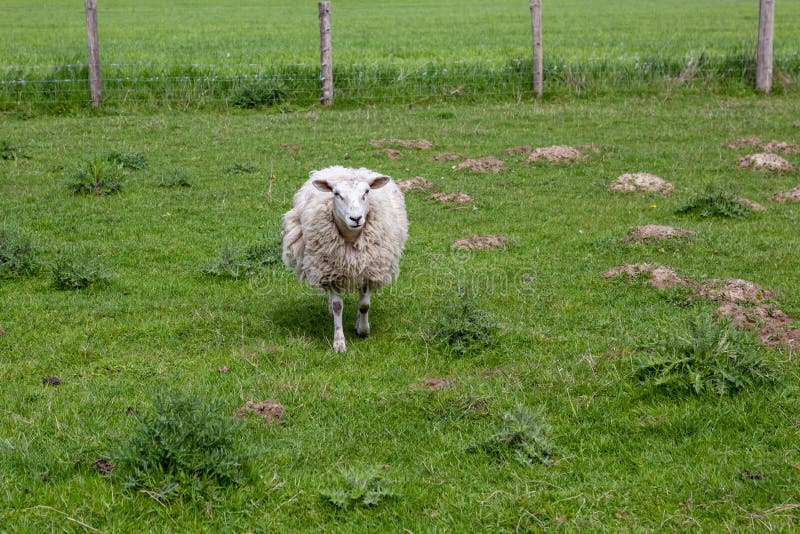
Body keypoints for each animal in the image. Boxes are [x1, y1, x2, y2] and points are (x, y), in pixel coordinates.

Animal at [282, 166, 408, 352]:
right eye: (336, 194)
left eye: (366, 192)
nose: (356, 218)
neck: (351, 237)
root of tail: (346, 169)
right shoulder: (331, 272)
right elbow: (337, 306)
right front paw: (339, 342)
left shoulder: (368, 270)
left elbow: (364, 305)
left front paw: (363, 330)